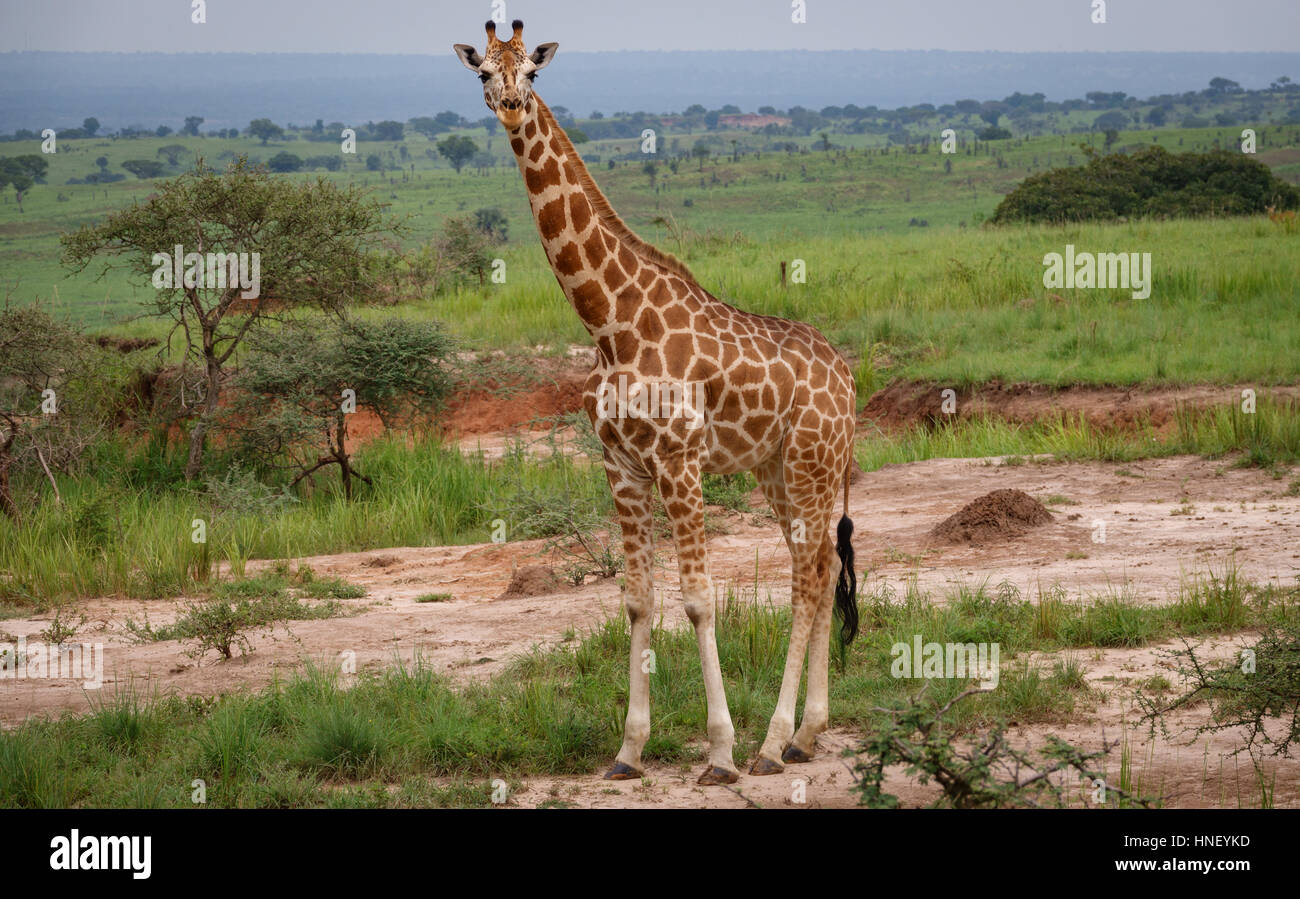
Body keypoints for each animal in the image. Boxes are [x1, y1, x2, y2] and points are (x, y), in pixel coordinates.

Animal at [454, 20, 860, 784]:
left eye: (532, 71)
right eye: (483, 73)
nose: (514, 107)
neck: (608, 323)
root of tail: (848, 378)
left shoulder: (679, 460)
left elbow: (699, 600)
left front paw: (721, 752)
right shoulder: (622, 467)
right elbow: (638, 600)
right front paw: (628, 751)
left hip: (812, 462)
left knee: (809, 576)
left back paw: (771, 743)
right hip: (776, 469)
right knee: (819, 569)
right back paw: (804, 735)